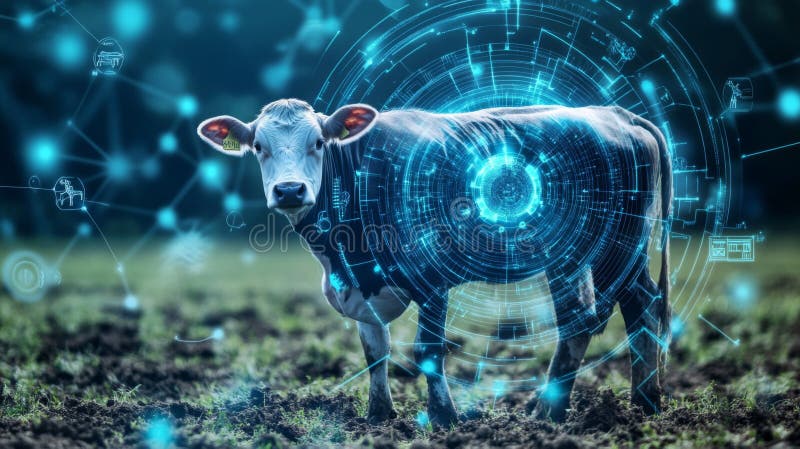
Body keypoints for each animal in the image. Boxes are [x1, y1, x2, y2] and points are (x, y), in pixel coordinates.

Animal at [197, 99, 672, 428]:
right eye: (259, 147)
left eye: (317, 142)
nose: (290, 190)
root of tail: (616, 114)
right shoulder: (360, 289)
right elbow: (375, 352)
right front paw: (378, 415)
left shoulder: (431, 279)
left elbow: (428, 350)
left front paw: (445, 418)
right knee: (622, 311)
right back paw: (640, 403)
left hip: (614, 247)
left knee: (609, 313)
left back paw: (553, 412)